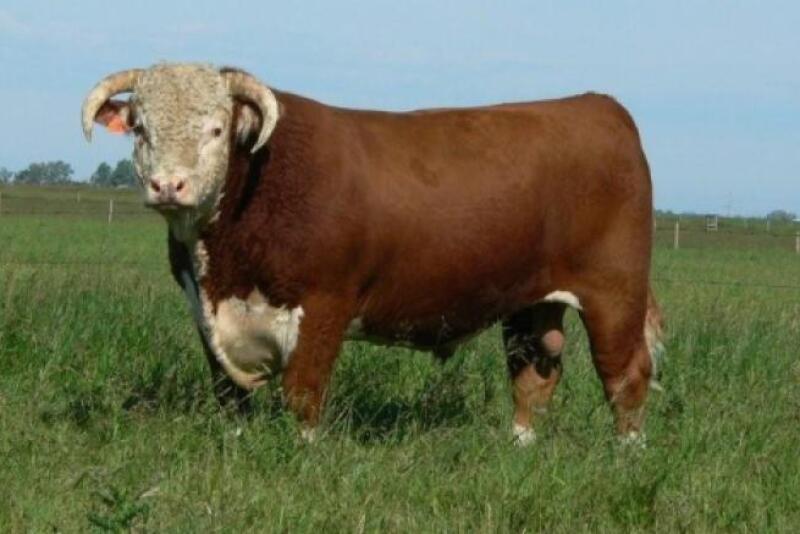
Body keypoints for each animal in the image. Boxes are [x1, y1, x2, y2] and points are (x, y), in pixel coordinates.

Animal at [81, 63, 664, 445]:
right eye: (140, 128)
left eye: (216, 128)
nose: (168, 186)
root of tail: (598, 104)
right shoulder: (205, 313)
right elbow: (230, 396)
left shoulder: (323, 305)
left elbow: (304, 395)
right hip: (532, 303)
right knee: (534, 374)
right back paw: (518, 448)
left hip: (614, 290)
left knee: (625, 375)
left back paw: (627, 456)